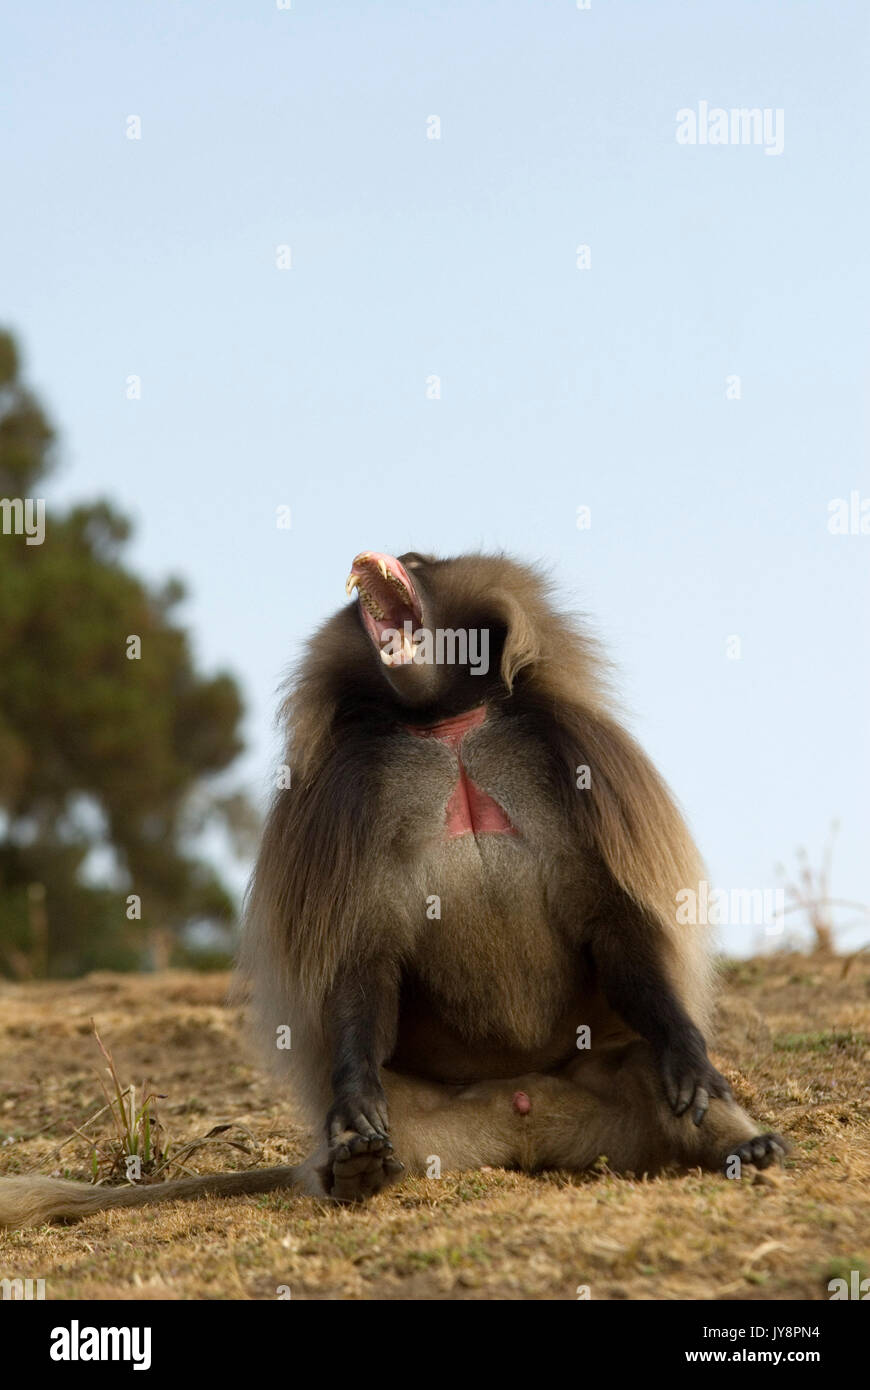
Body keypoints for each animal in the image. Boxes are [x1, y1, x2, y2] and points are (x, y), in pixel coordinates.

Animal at [0, 550, 784, 1230]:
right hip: (424, 1124)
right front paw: (353, 1114)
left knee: (658, 1073)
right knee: (382, 1121)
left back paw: (741, 1141)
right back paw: (357, 1167)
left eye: (419, 560)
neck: (447, 728)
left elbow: (615, 925)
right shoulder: (352, 793)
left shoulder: (575, 761)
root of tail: (524, 1125)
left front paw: (690, 1056)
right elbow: (363, 953)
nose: (379, 558)